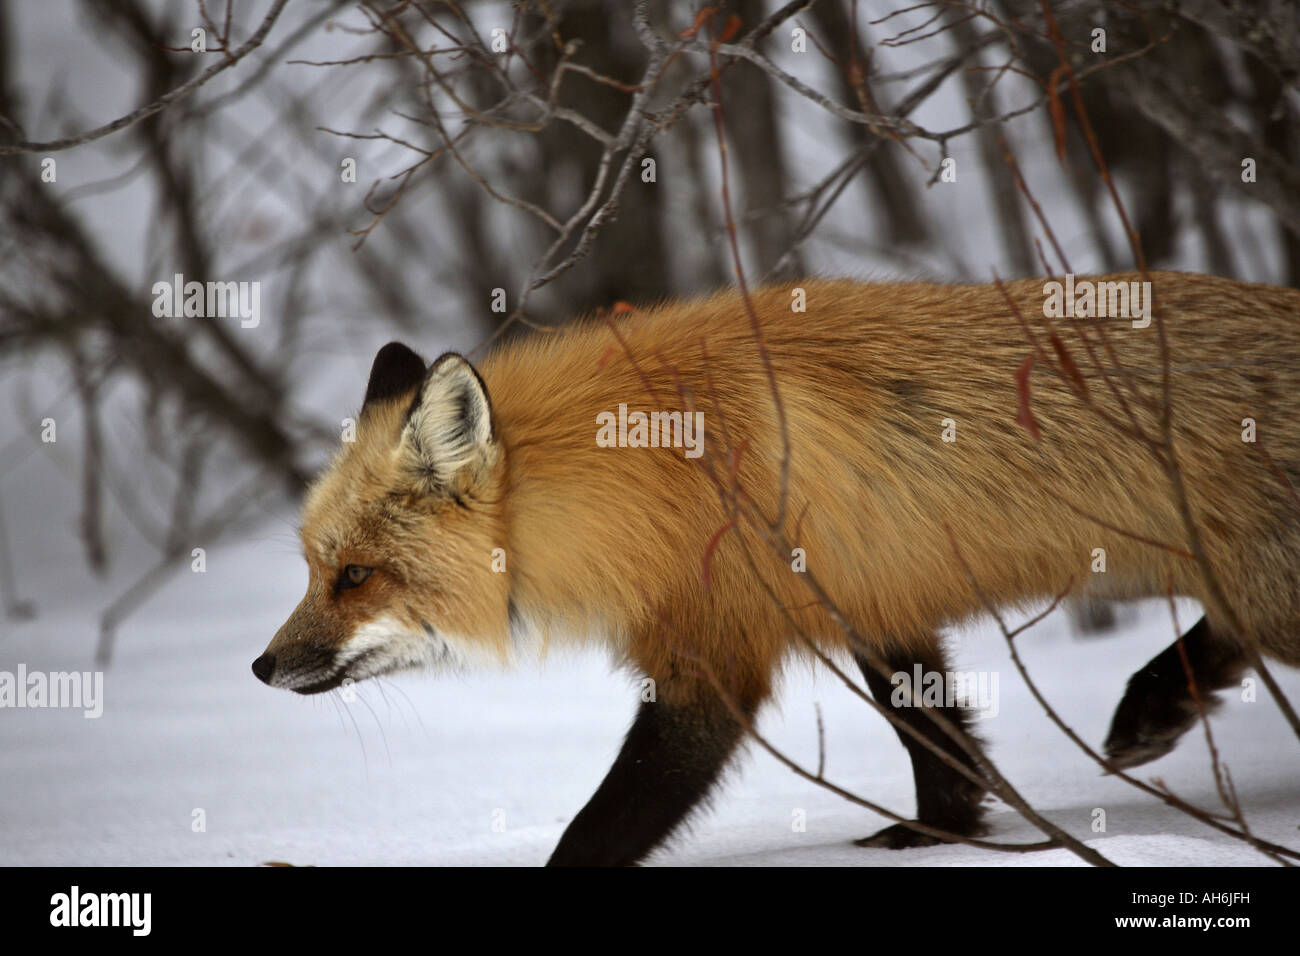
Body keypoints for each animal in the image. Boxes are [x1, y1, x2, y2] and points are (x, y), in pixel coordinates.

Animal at [254, 271, 1300, 866]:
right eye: (310, 570)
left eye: (356, 577)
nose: (262, 669)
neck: (648, 469)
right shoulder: (869, 597)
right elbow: (933, 731)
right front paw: (941, 837)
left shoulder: (713, 659)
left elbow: (595, 831)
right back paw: (1157, 705)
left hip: (1274, 591)